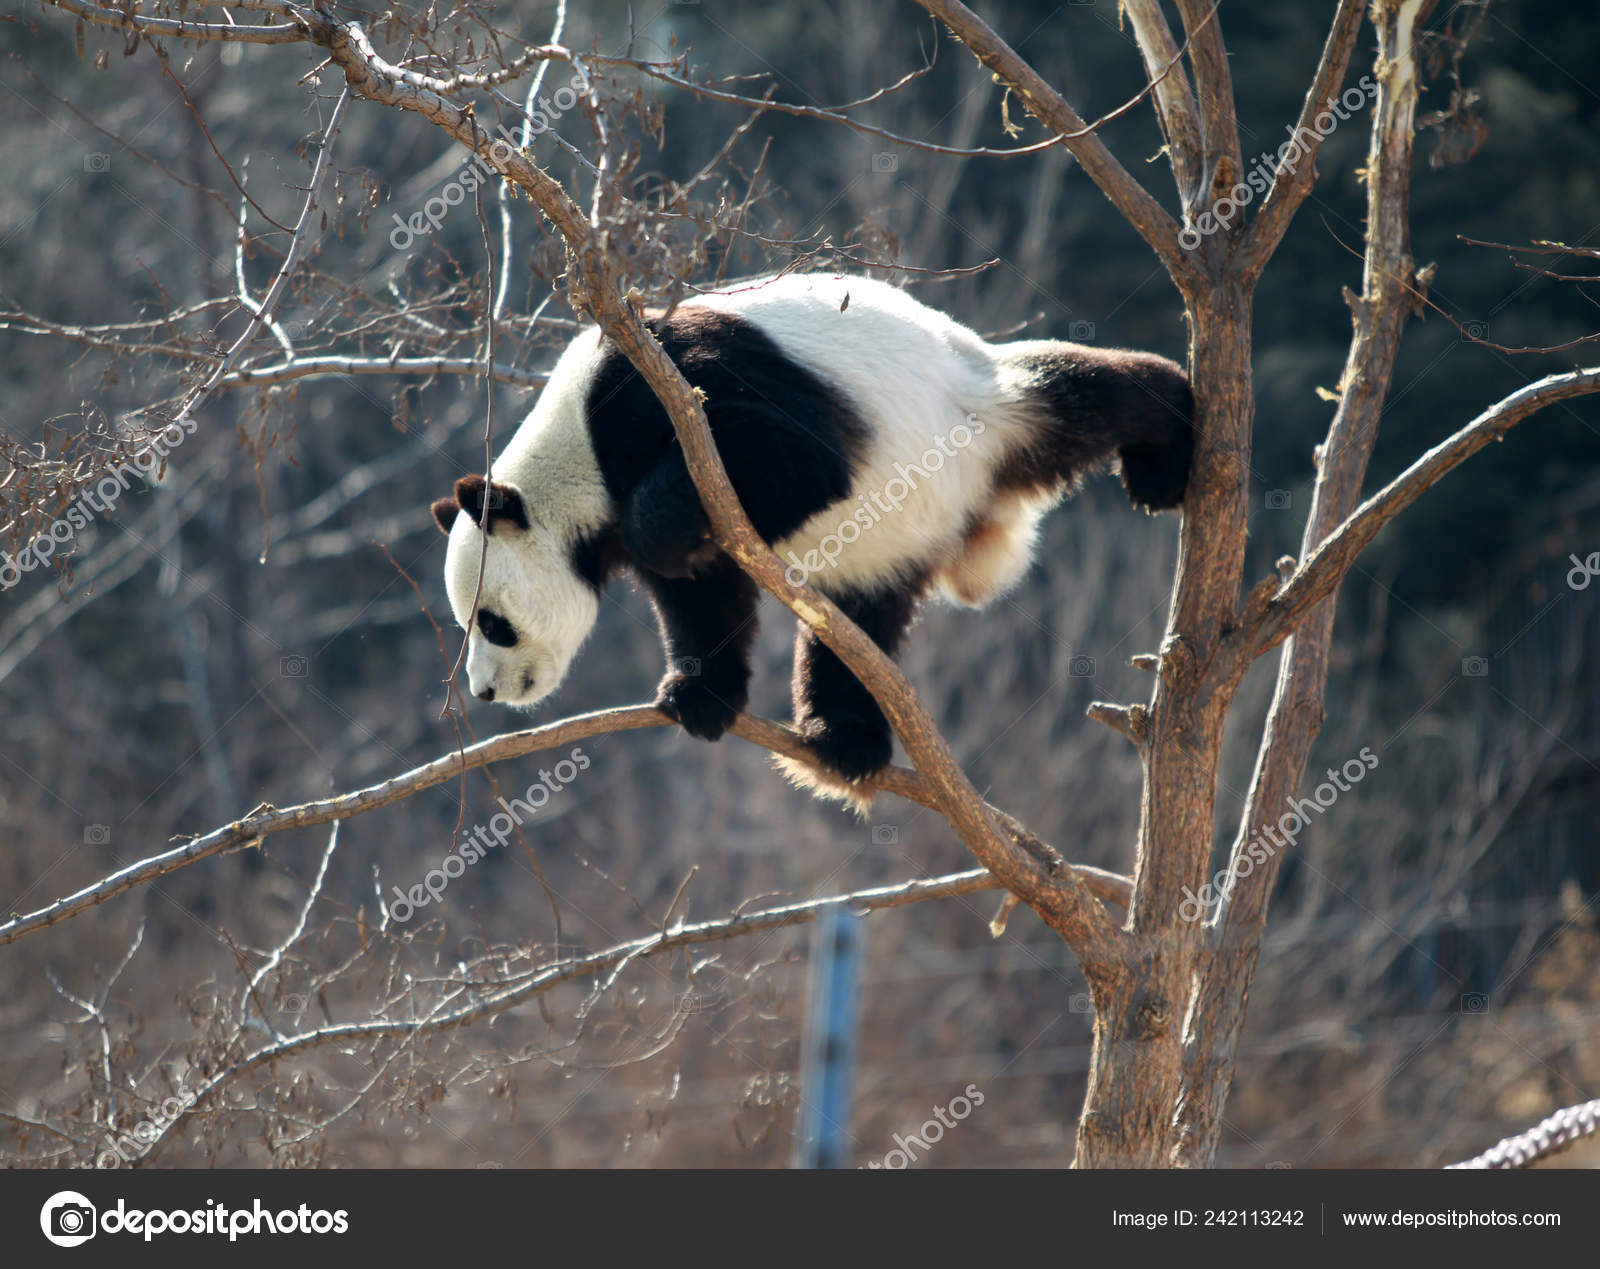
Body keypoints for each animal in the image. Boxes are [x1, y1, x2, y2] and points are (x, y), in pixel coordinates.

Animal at [432, 272, 1191, 802]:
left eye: (492, 623)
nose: (486, 694)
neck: (574, 450)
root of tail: (976, 515)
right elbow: (702, 599)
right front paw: (699, 695)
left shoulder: (663, 381)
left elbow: (794, 451)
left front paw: (669, 534)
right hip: (890, 544)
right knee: (858, 629)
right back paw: (843, 741)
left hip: (984, 407)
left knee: (1082, 393)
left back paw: (1166, 448)